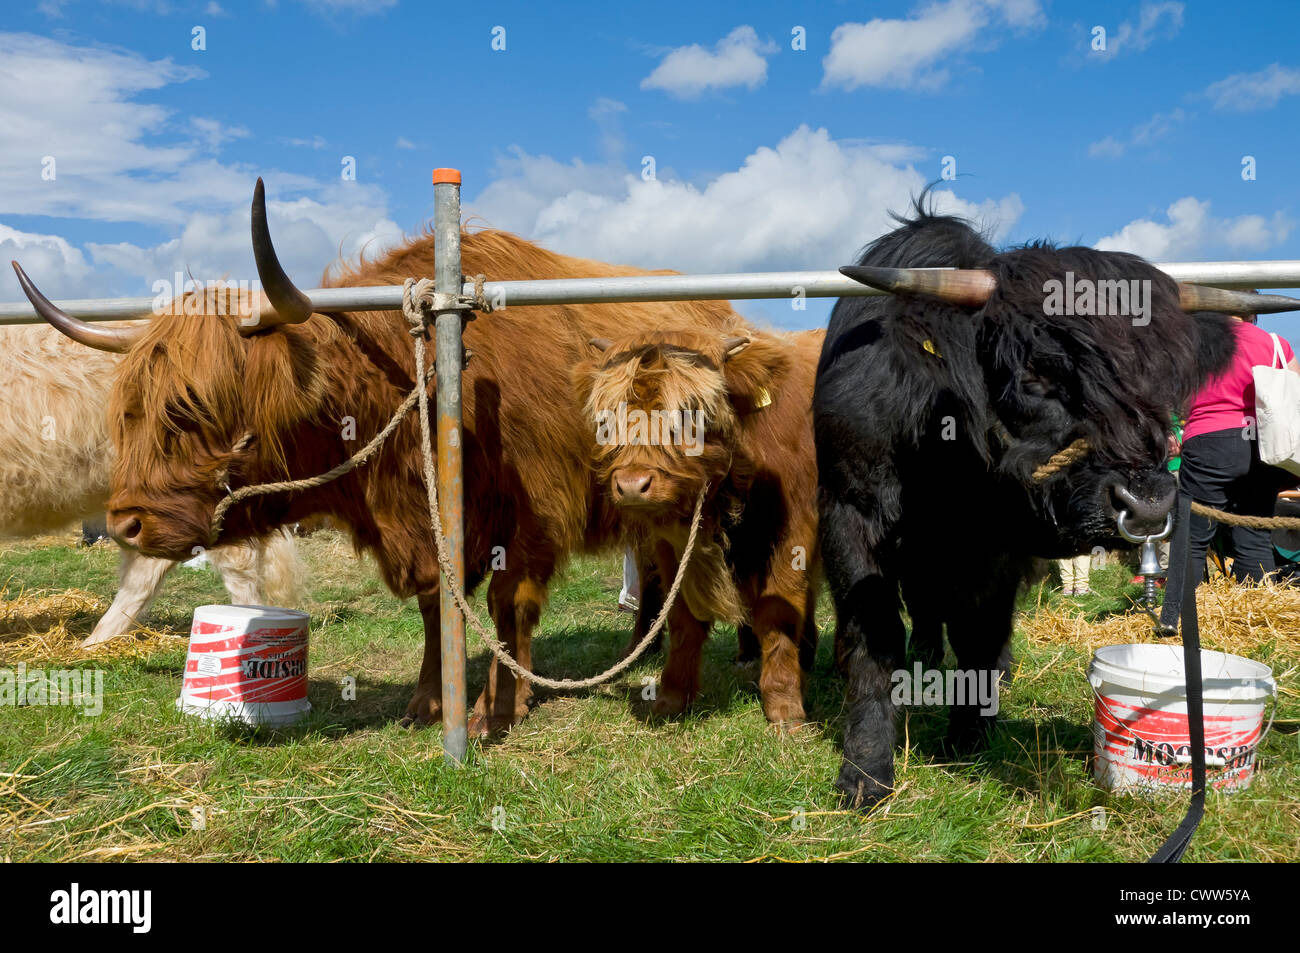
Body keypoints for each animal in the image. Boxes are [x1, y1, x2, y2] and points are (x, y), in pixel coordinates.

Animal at [575, 325, 823, 726]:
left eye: (690, 413)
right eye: (609, 418)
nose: (632, 485)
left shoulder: (794, 534)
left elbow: (779, 612)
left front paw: (785, 705)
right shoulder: (668, 546)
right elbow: (681, 616)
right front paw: (672, 697)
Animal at [814, 203, 1297, 808]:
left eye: (1165, 382)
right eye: (1035, 373)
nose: (1146, 505)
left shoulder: (995, 548)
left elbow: (980, 633)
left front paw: (969, 735)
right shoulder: (848, 513)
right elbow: (872, 638)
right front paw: (866, 770)